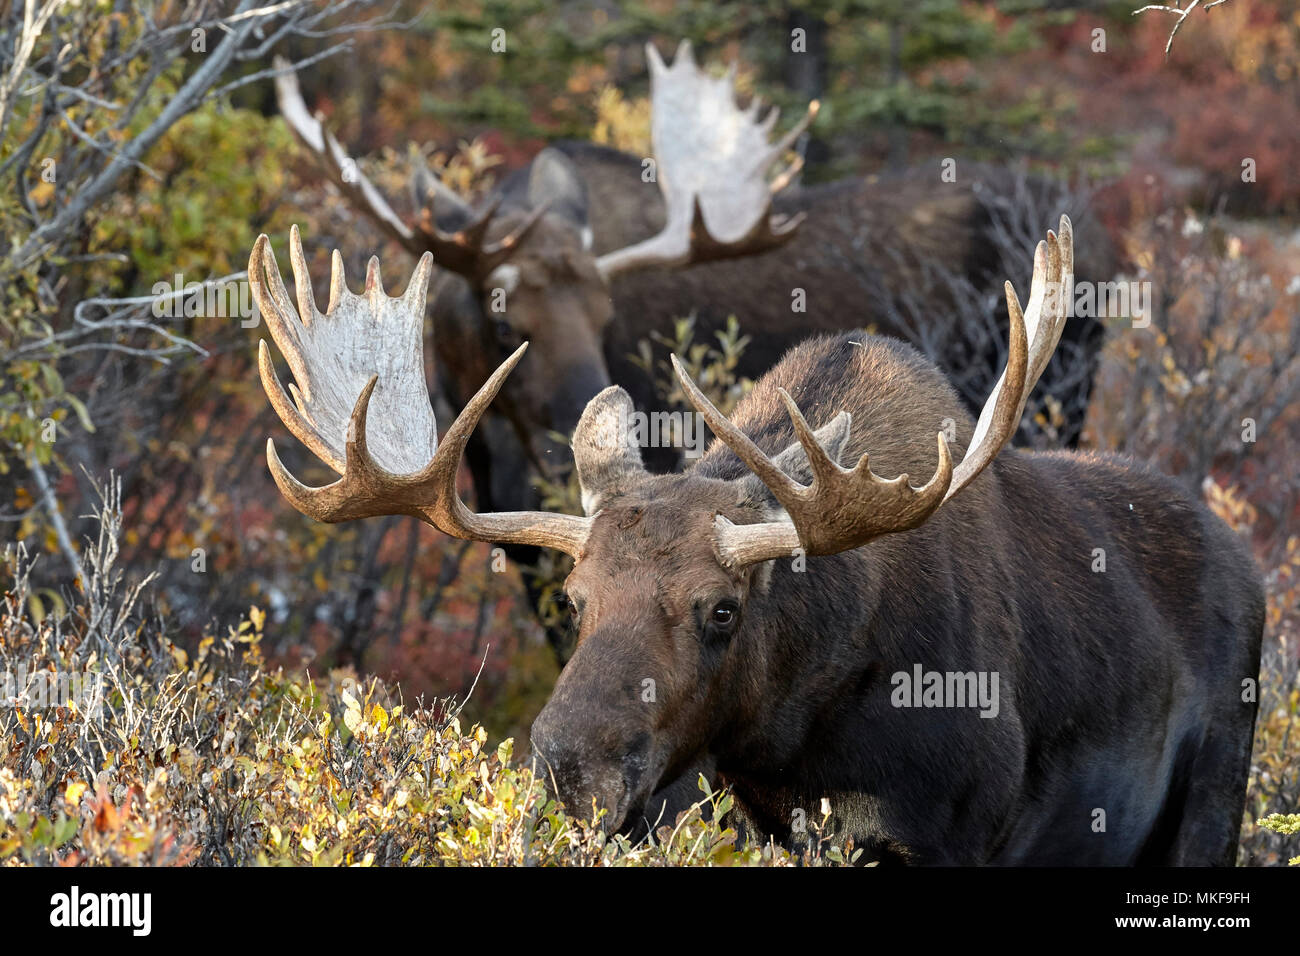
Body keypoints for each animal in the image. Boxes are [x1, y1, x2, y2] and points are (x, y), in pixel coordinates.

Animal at [249, 214, 1263, 864]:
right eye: (574, 600)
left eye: (722, 610)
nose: (574, 771)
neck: (798, 730)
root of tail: (1255, 576)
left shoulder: (956, 833)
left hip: (1213, 802)